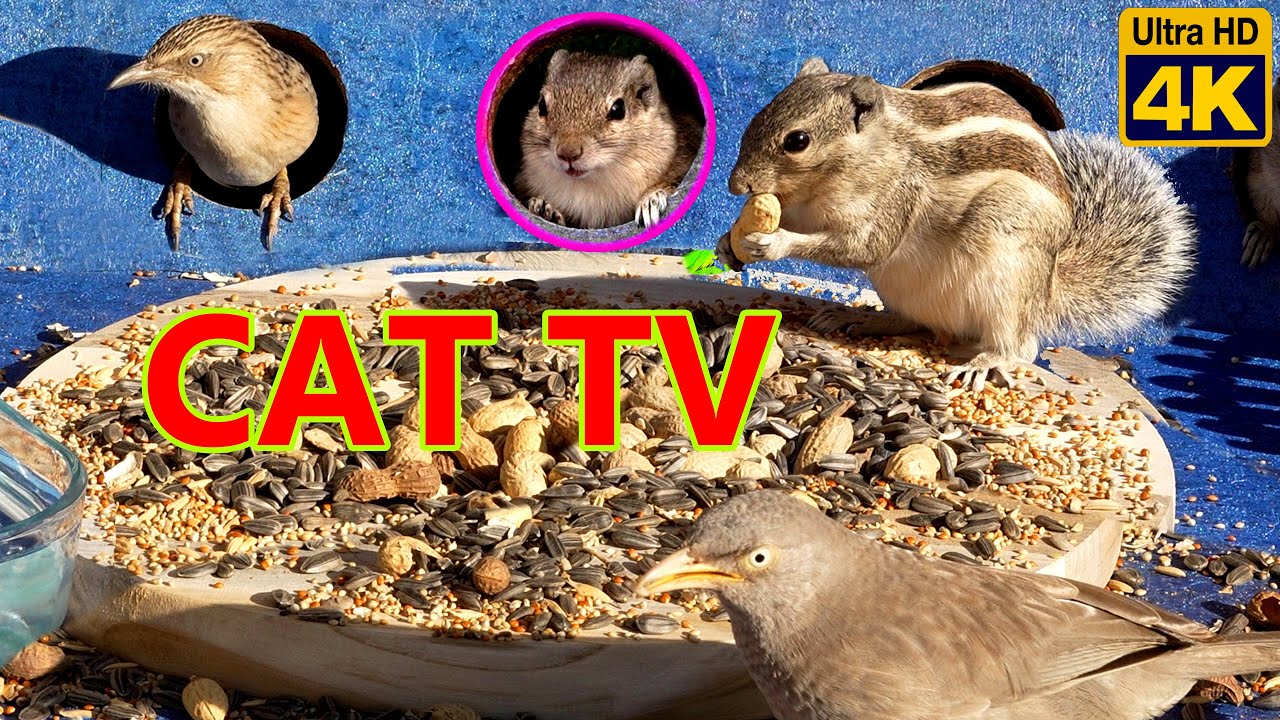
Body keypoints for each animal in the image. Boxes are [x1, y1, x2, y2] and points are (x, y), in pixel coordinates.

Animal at [717, 57, 1196, 387]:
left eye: (797, 141)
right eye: (758, 115)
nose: (736, 184)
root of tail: (1047, 292)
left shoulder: (894, 201)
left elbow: (862, 247)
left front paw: (773, 243)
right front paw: (728, 242)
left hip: (1007, 277)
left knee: (1021, 347)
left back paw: (988, 361)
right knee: (920, 323)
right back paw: (859, 319)